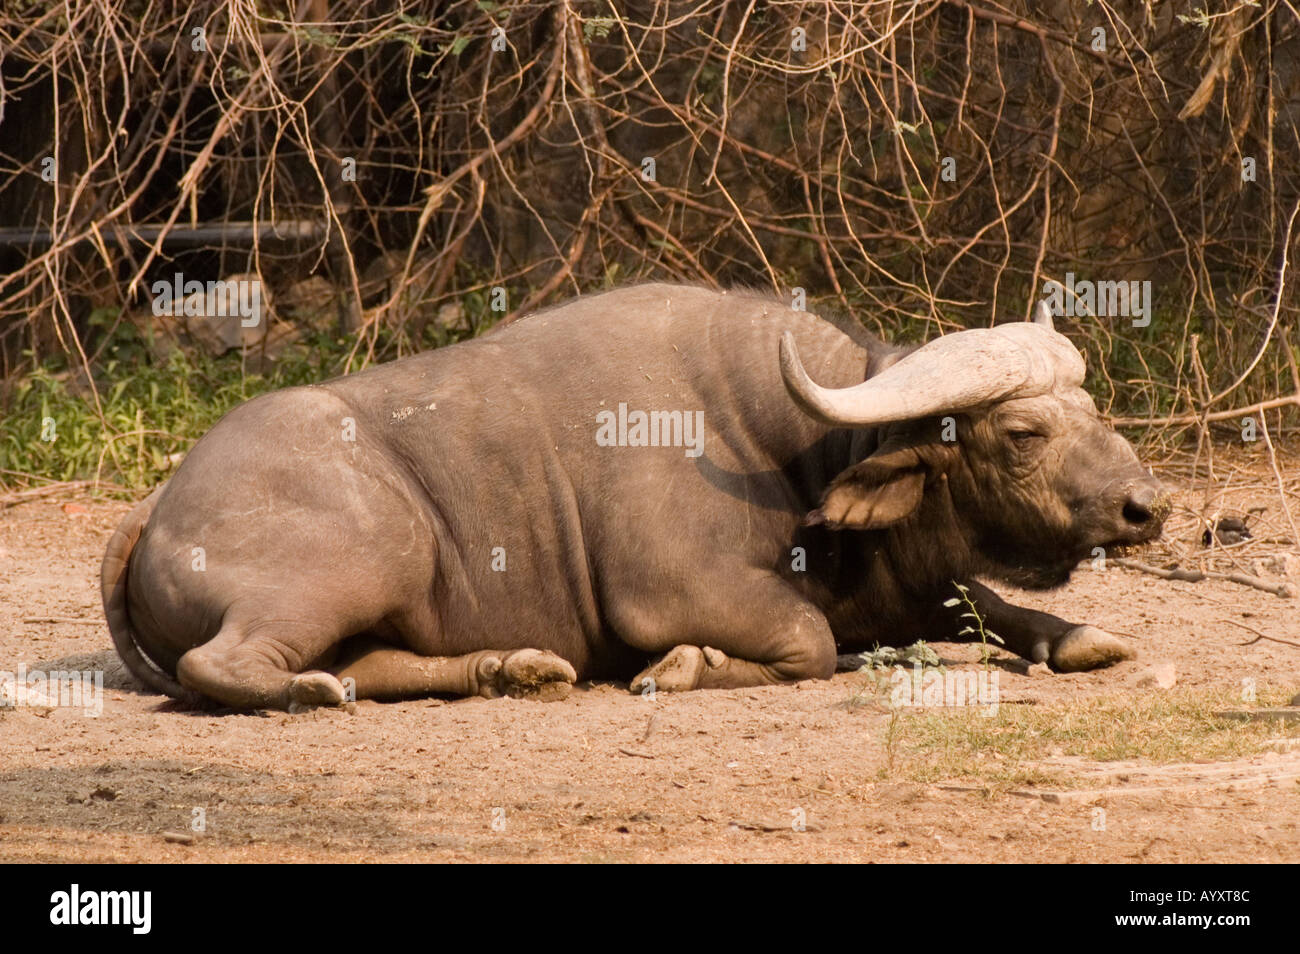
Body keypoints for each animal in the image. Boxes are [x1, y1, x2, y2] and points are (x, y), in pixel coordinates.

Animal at [102, 283, 1167, 709]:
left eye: (1091, 408)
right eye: (1023, 434)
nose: (1144, 507)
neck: (792, 455)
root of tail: (159, 505)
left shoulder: (913, 585)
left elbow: (989, 605)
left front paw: (1079, 635)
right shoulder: (669, 591)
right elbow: (808, 641)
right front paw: (689, 665)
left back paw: (513, 668)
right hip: (377, 548)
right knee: (225, 661)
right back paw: (307, 692)